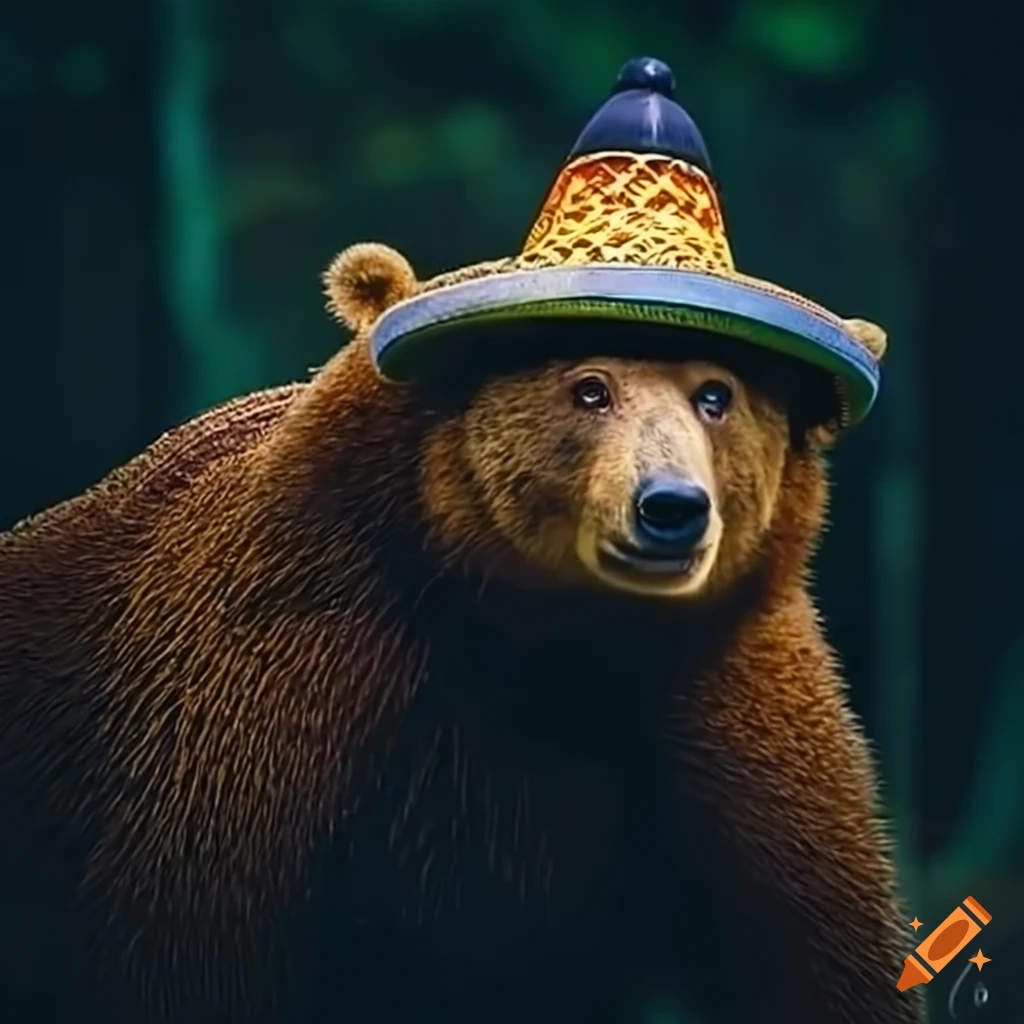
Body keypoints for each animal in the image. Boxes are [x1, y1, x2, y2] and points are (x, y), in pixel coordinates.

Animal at [0, 243, 920, 1024]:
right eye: (590, 387)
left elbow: (817, 944)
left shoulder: (727, 698)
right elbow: (191, 942)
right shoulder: (283, 674)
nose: (670, 507)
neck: (537, 633)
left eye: (716, 393)